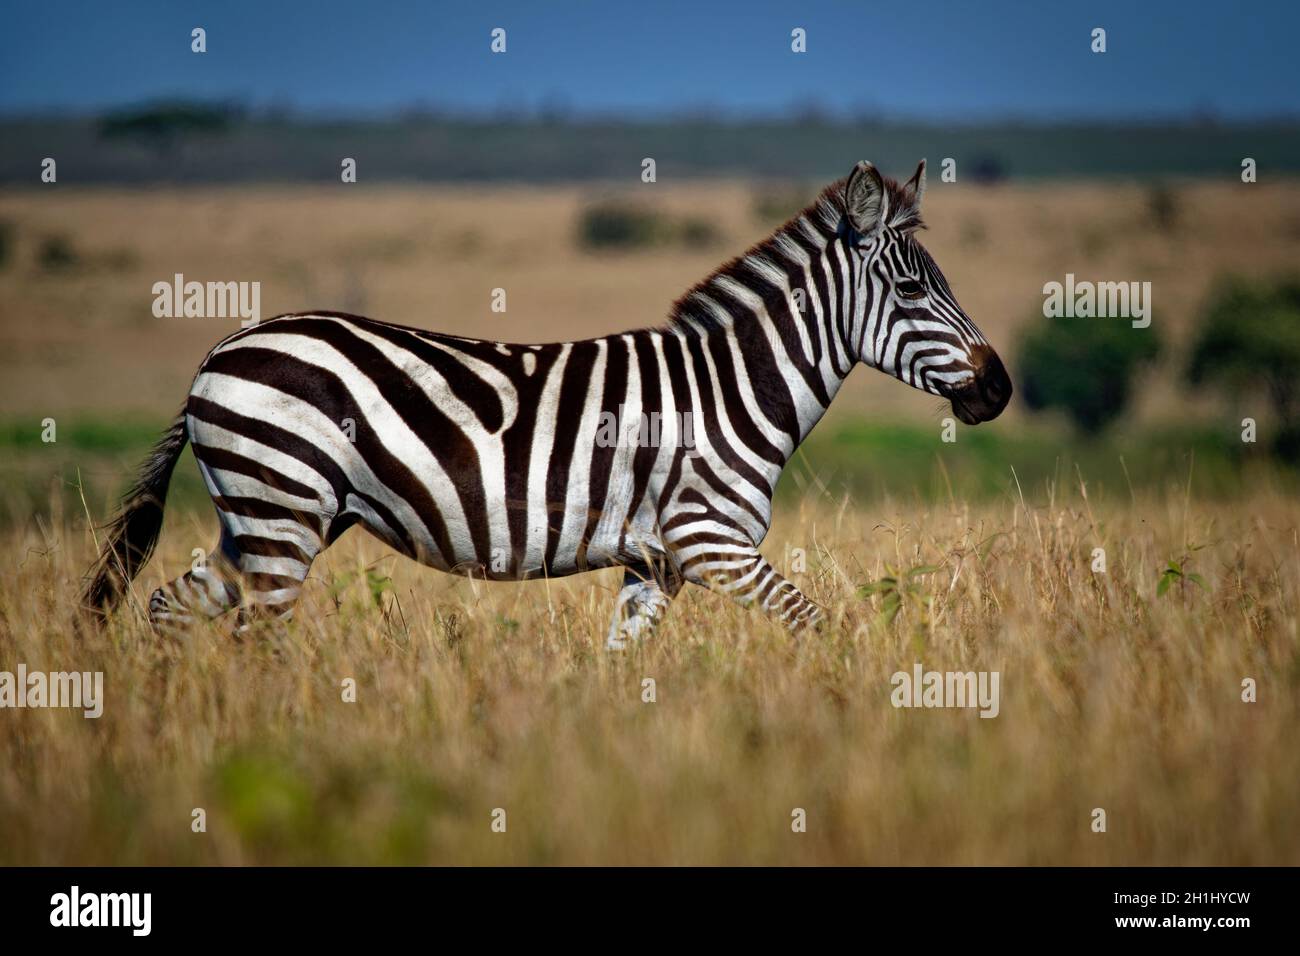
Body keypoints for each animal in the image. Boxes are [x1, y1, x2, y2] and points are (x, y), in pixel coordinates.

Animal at [81, 160, 1011, 647]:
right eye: (909, 289)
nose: (1000, 389)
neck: (730, 392)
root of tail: (220, 351)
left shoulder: (654, 563)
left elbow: (621, 668)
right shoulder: (709, 541)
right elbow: (813, 622)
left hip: (267, 513)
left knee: (168, 607)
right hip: (281, 509)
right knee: (255, 636)